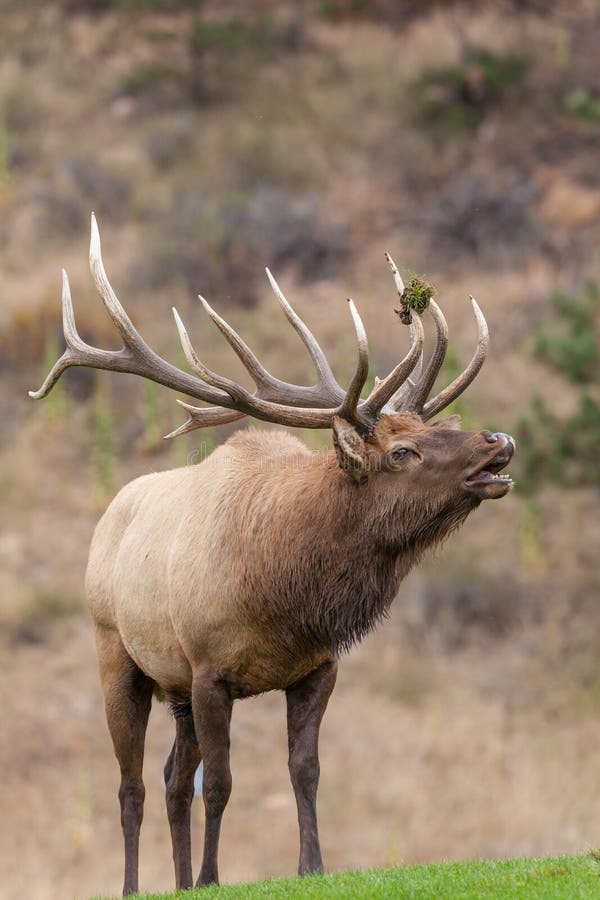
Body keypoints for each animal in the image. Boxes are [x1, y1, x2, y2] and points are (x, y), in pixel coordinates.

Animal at [30, 214, 515, 896]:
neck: (284, 597)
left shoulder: (317, 667)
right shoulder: (210, 671)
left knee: (172, 779)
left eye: (430, 430)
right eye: (402, 453)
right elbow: (222, 784)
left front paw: (310, 864)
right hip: (116, 656)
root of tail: (108, 516)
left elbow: (304, 769)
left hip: (174, 687)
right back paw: (135, 885)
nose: (499, 441)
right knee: (131, 786)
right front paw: (213, 877)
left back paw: (179, 880)